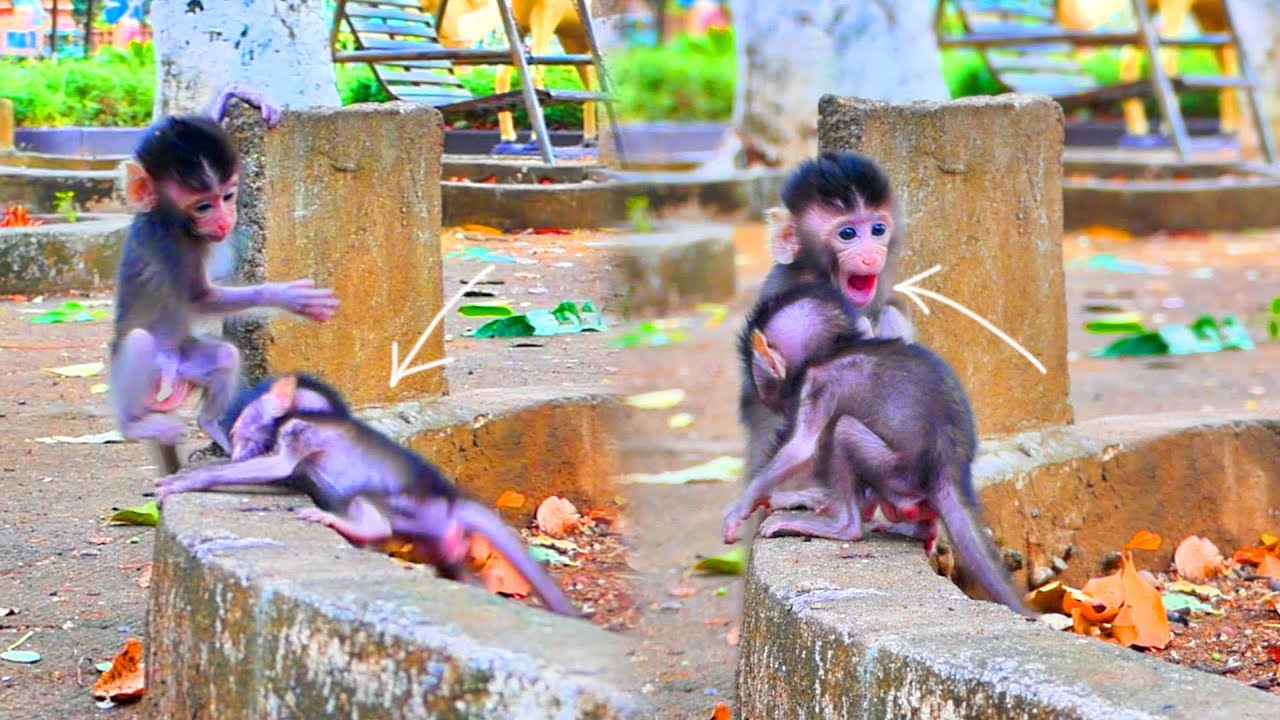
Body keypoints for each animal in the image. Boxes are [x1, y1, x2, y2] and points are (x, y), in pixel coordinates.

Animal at [110, 88, 338, 475]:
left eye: (227, 196)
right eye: (204, 206)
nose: (224, 220)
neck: (175, 224)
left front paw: (235, 95)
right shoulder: (171, 246)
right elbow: (199, 298)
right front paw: (286, 297)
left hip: (186, 362)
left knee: (224, 355)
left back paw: (211, 424)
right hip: (147, 372)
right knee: (139, 342)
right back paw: (134, 426)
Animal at [154, 374, 579, 617]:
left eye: (244, 418)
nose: (234, 438)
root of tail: (451, 502)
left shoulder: (298, 431)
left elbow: (279, 465)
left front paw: (185, 481)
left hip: (409, 508)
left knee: (366, 507)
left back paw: (356, 525)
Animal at [722, 285, 1032, 617]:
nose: (758, 387)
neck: (836, 349)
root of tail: (947, 471)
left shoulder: (817, 384)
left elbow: (802, 448)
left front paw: (744, 505)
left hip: (896, 474)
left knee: (842, 430)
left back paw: (844, 525)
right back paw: (914, 528)